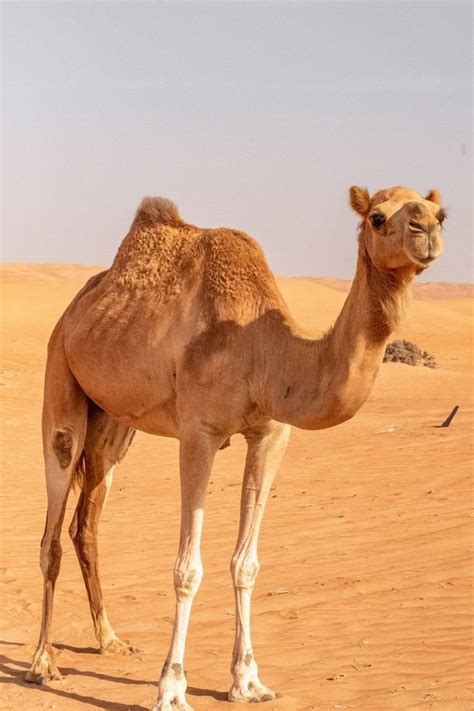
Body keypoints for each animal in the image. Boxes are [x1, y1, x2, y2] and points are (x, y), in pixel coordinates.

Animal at [25, 185, 445, 710]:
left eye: (441, 214)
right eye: (377, 217)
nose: (427, 231)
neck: (264, 351)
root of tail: (78, 306)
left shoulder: (271, 434)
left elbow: (246, 563)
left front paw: (247, 681)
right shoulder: (198, 433)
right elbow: (187, 569)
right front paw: (171, 687)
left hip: (114, 424)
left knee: (87, 524)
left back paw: (110, 639)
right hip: (60, 377)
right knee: (52, 530)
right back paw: (44, 663)